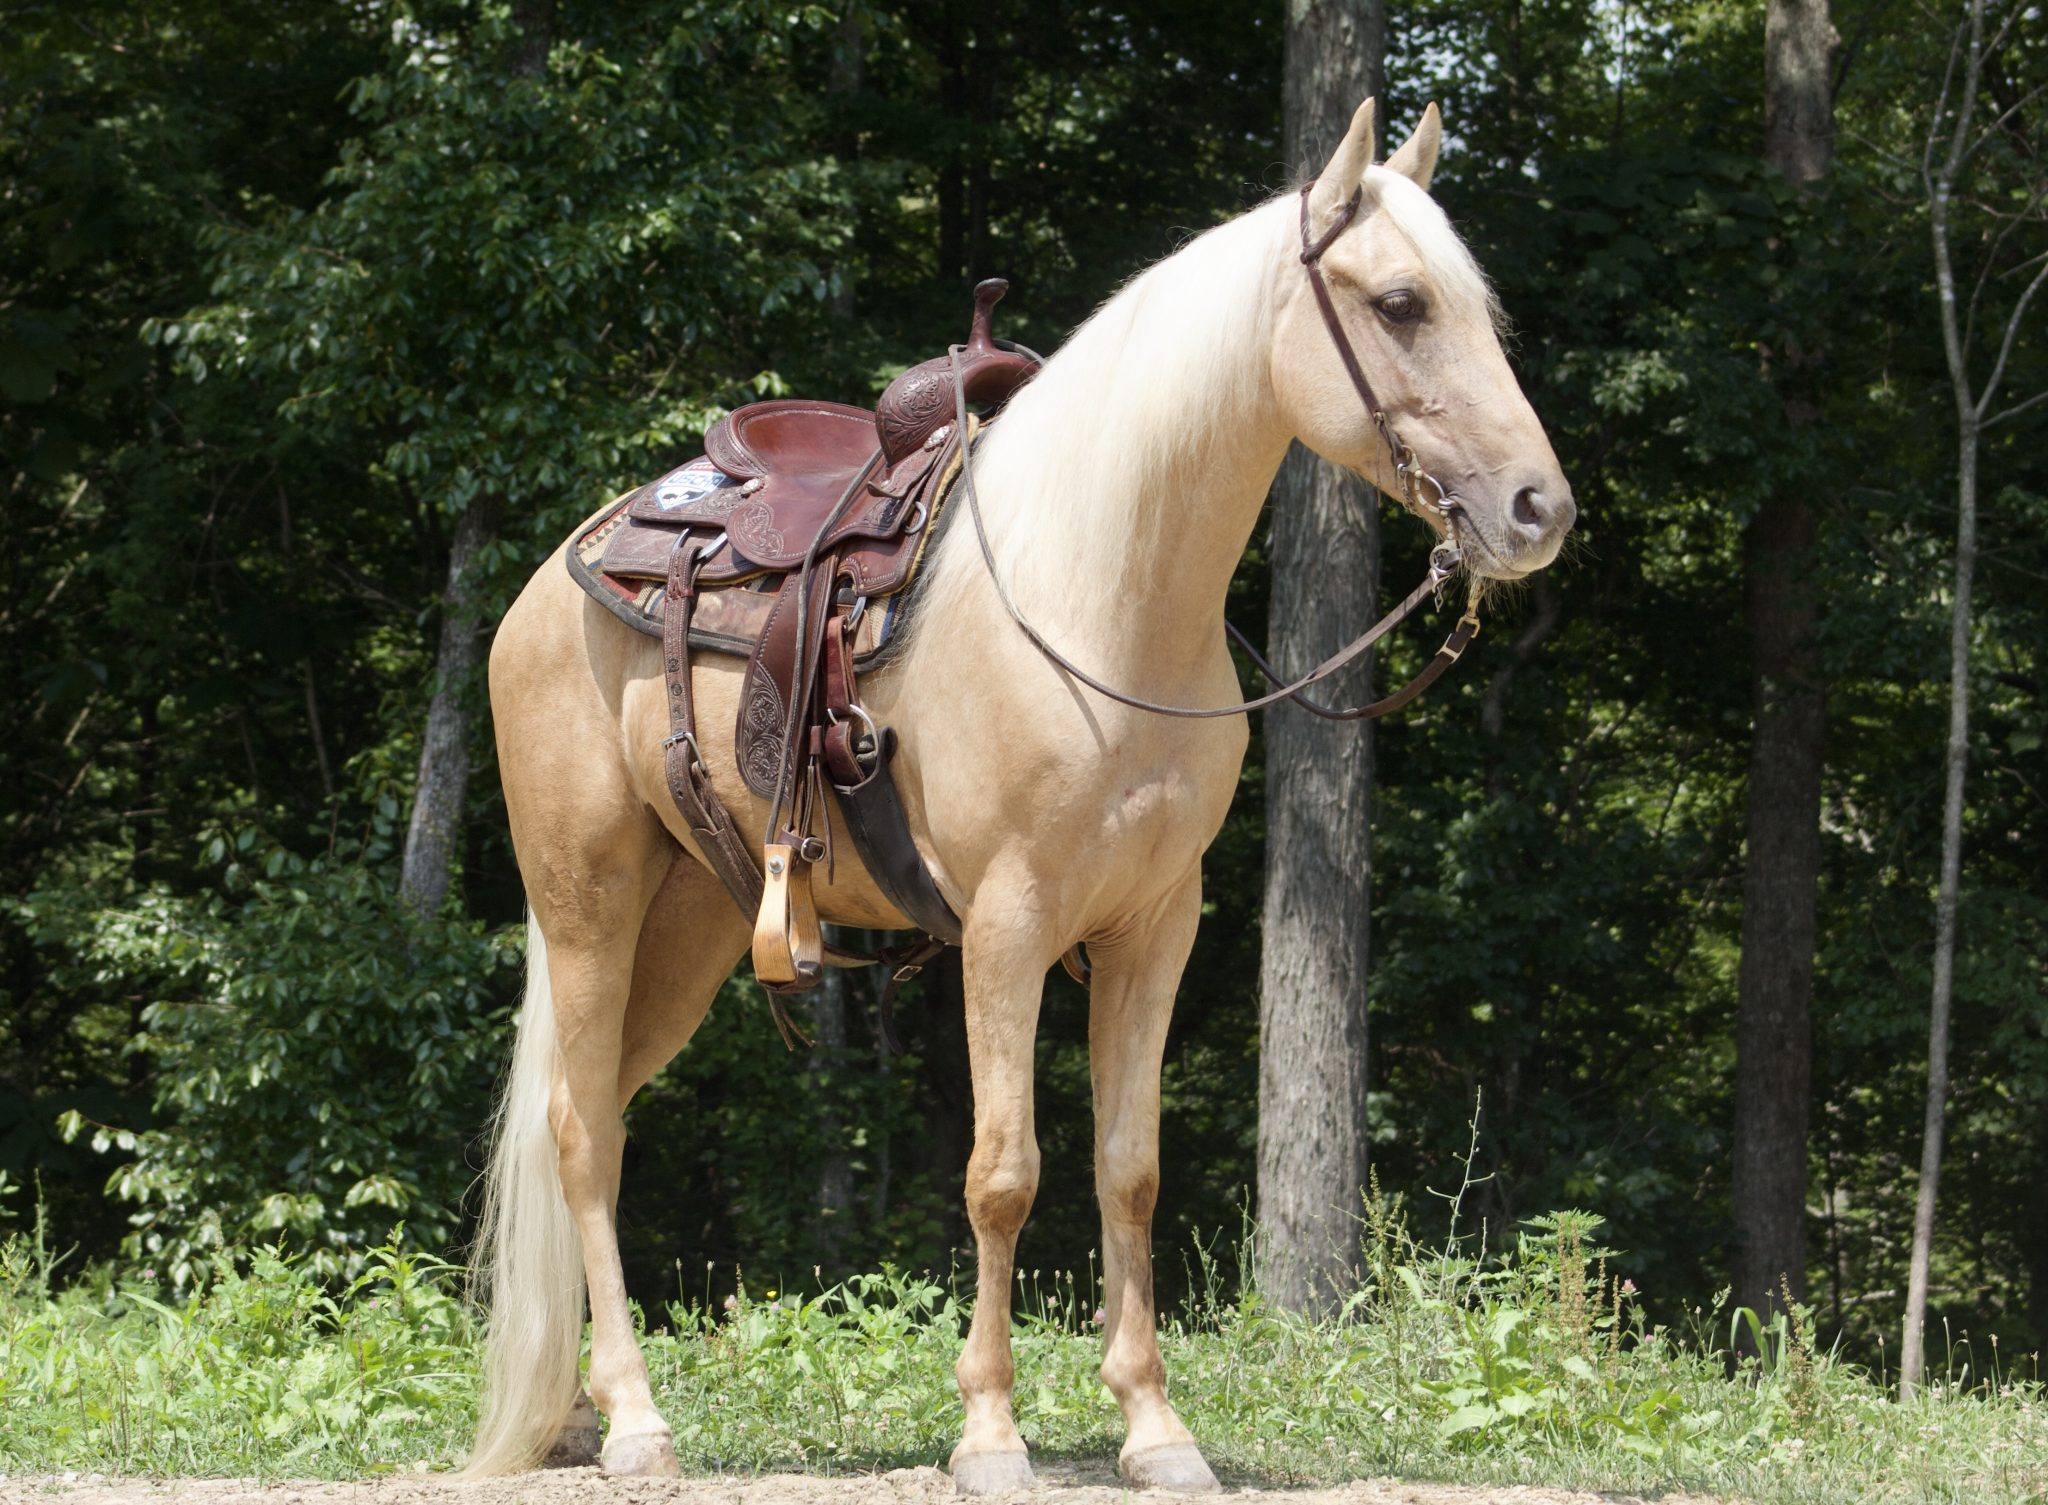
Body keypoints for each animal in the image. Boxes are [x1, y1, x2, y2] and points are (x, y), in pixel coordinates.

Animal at [468, 97, 1574, 1491]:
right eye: (1398, 302)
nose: (1537, 508)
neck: (1098, 592)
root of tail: (557, 572)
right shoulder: (1005, 926)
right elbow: (1004, 1172)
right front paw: (989, 1430)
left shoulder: (1156, 925)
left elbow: (1127, 1169)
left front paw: (1154, 1428)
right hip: (588, 900)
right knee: (578, 1132)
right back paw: (632, 1418)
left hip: (693, 919)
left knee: (599, 1110)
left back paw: (567, 1408)